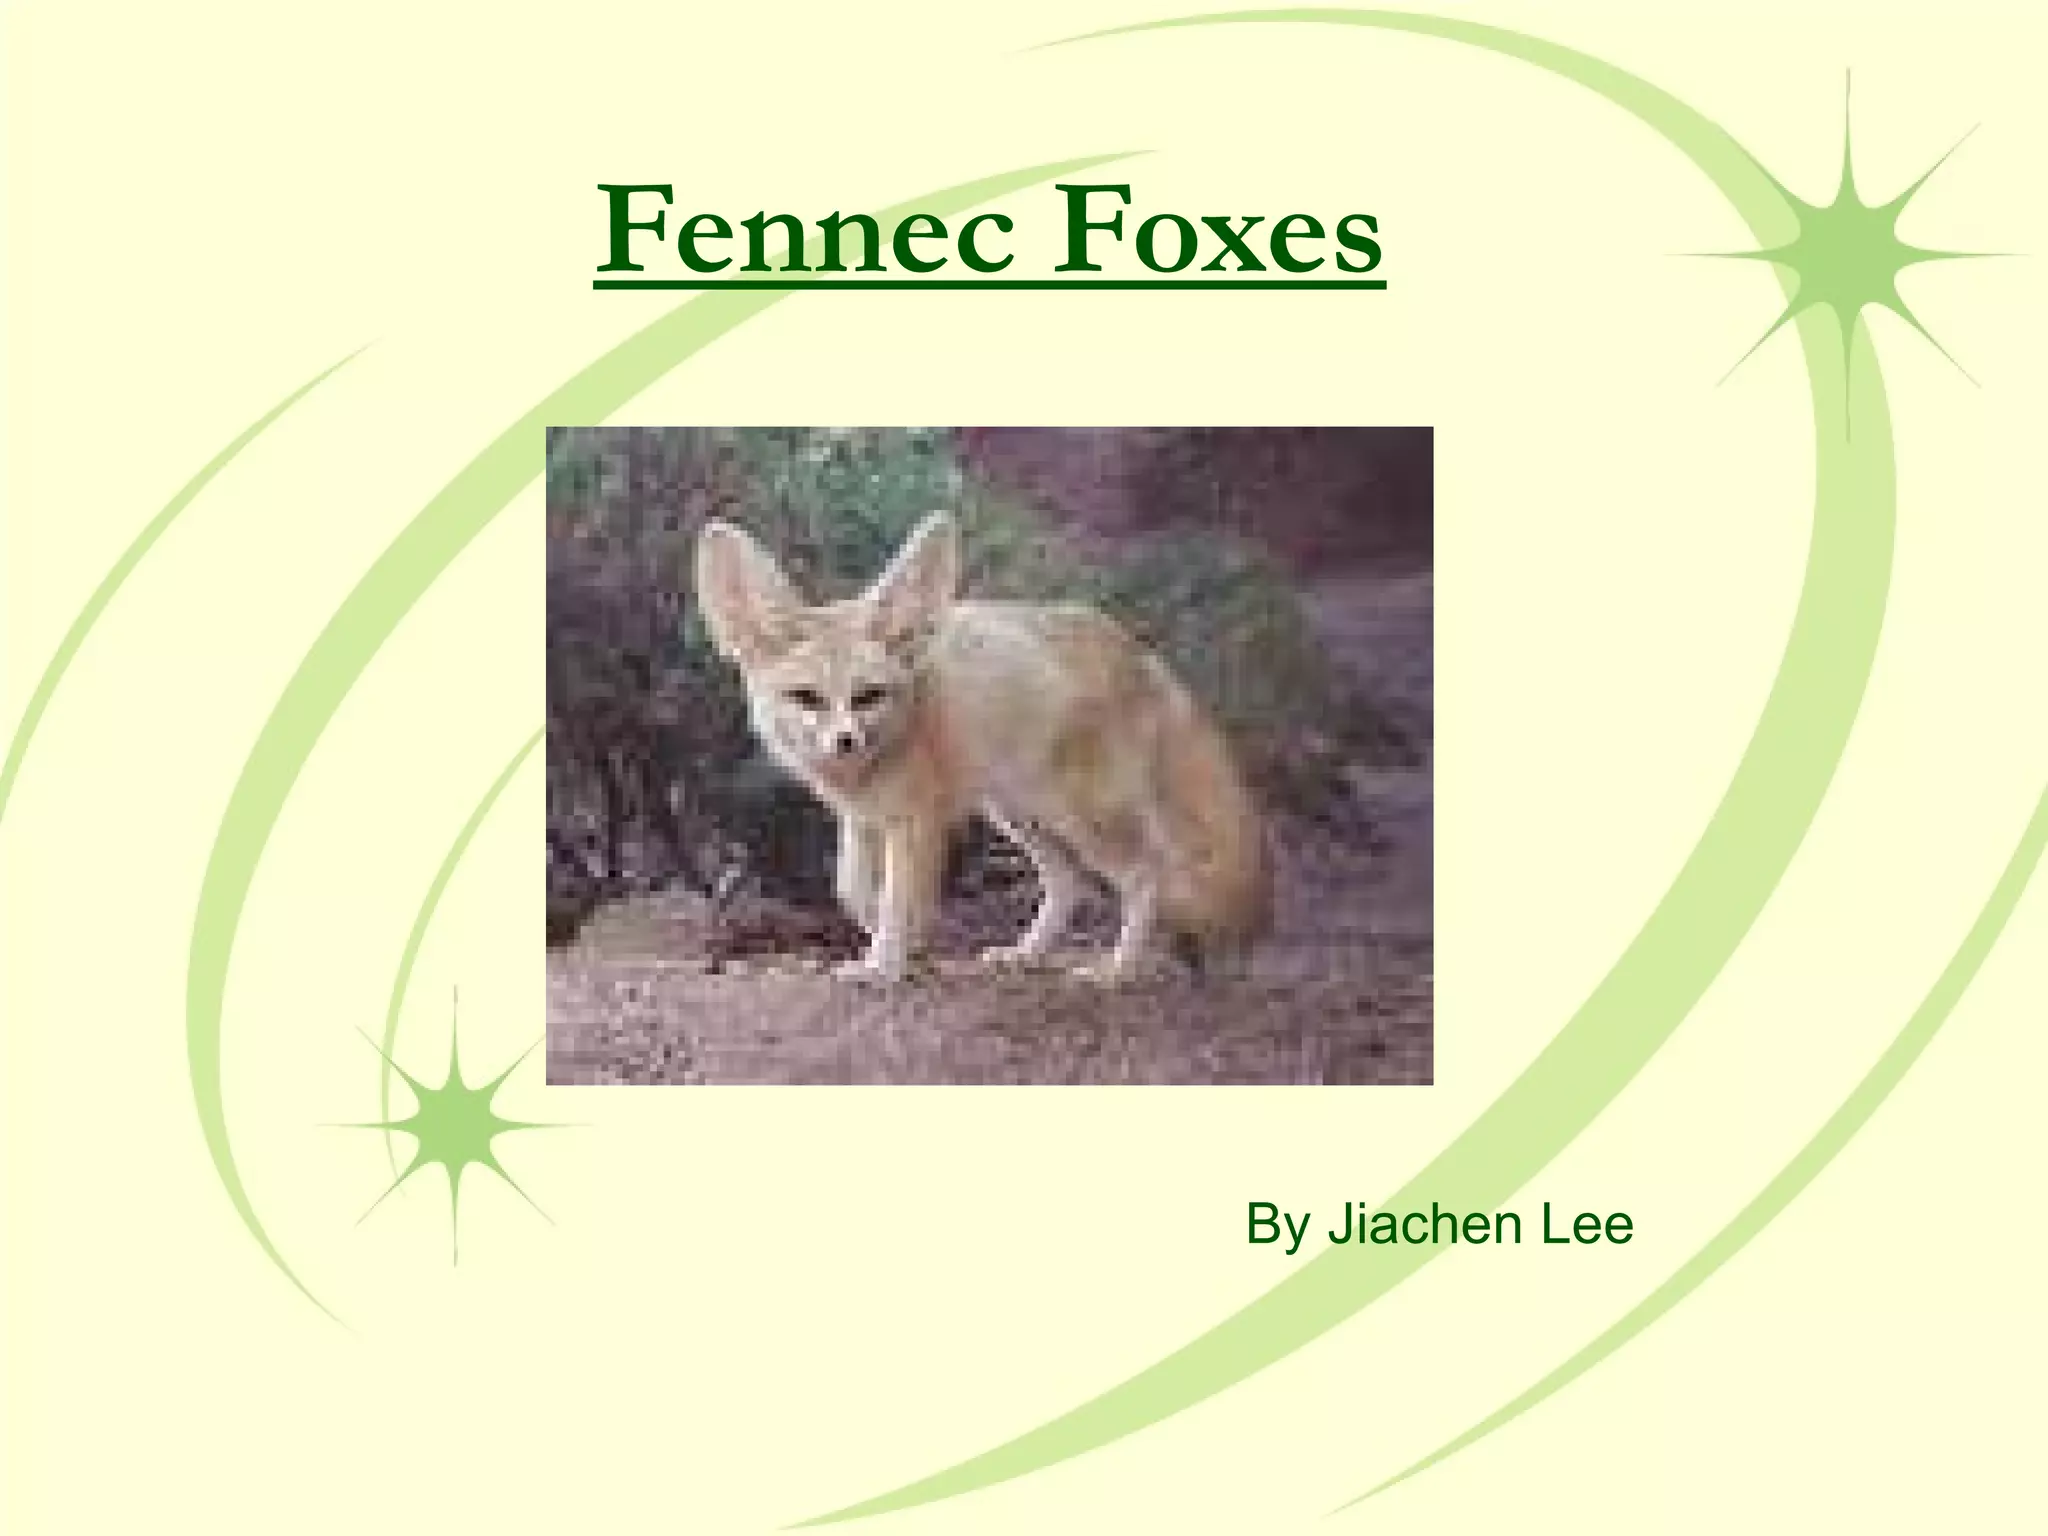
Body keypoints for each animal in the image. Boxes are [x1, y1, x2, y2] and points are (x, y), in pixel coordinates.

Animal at [694, 511, 1270, 984]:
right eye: (806, 697)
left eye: (867, 696)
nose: (844, 741)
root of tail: (1137, 653)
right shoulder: (864, 821)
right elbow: (853, 890)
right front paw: (894, 946)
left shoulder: (916, 823)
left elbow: (897, 901)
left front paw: (884, 966)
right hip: (1020, 816)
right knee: (1069, 885)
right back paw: (1026, 955)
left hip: (1080, 819)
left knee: (1146, 874)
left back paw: (1116, 970)